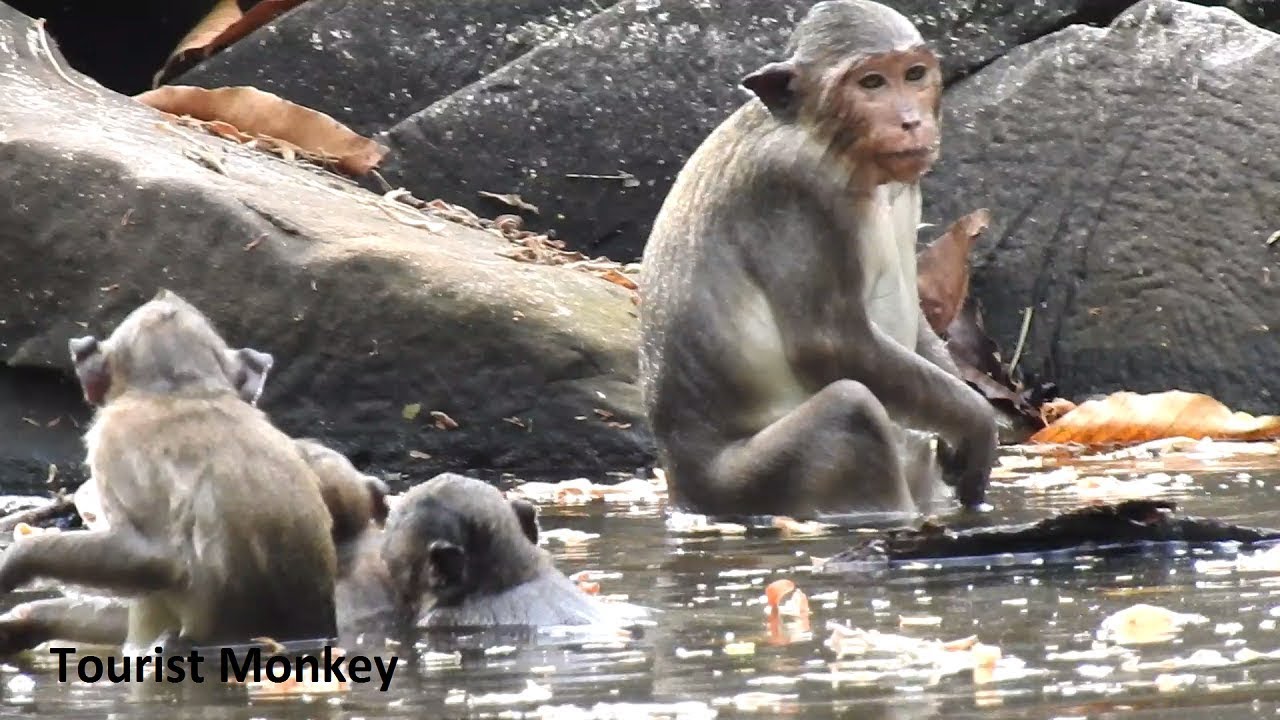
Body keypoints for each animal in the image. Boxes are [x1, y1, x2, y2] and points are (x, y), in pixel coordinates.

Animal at [637, 0, 998, 520]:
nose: (911, 120)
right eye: (872, 83)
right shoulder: (799, 191)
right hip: (742, 485)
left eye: (913, 74)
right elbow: (828, 346)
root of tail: (680, 486)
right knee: (850, 410)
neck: (829, 138)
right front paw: (979, 423)